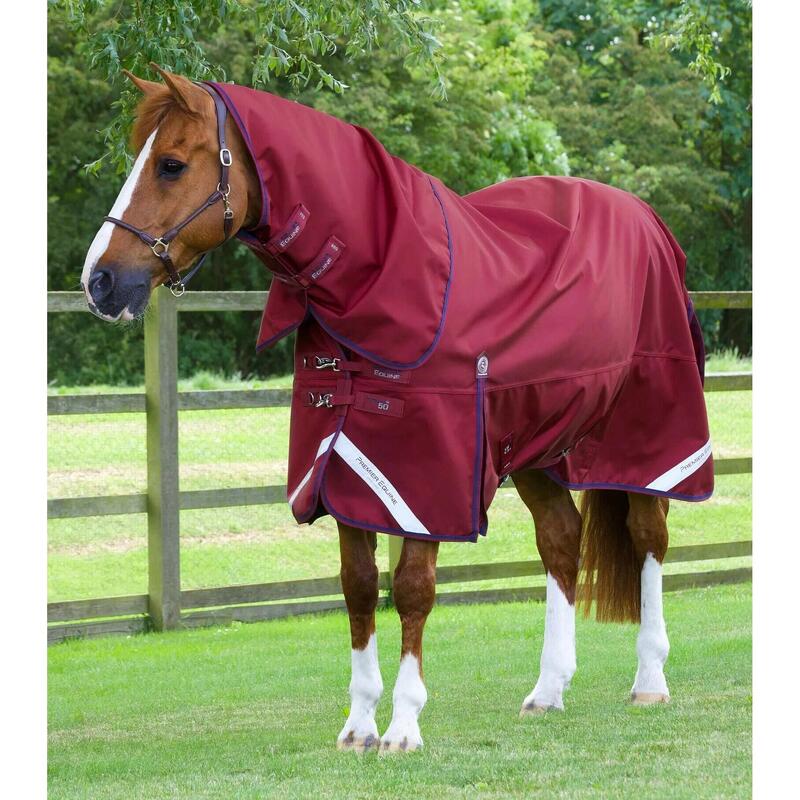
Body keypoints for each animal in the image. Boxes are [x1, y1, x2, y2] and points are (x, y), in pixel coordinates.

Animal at [81, 65, 713, 753]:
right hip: (535, 444)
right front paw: (358, 725)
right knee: (561, 540)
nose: (99, 281)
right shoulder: (340, 465)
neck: (378, 279)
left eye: (170, 165)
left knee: (649, 536)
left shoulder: (427, 476)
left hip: (648, 434)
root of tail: (647, 219)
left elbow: (411, 589)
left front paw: (404, 726)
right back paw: (548, 690)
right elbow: (359, 588)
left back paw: (650, 679)